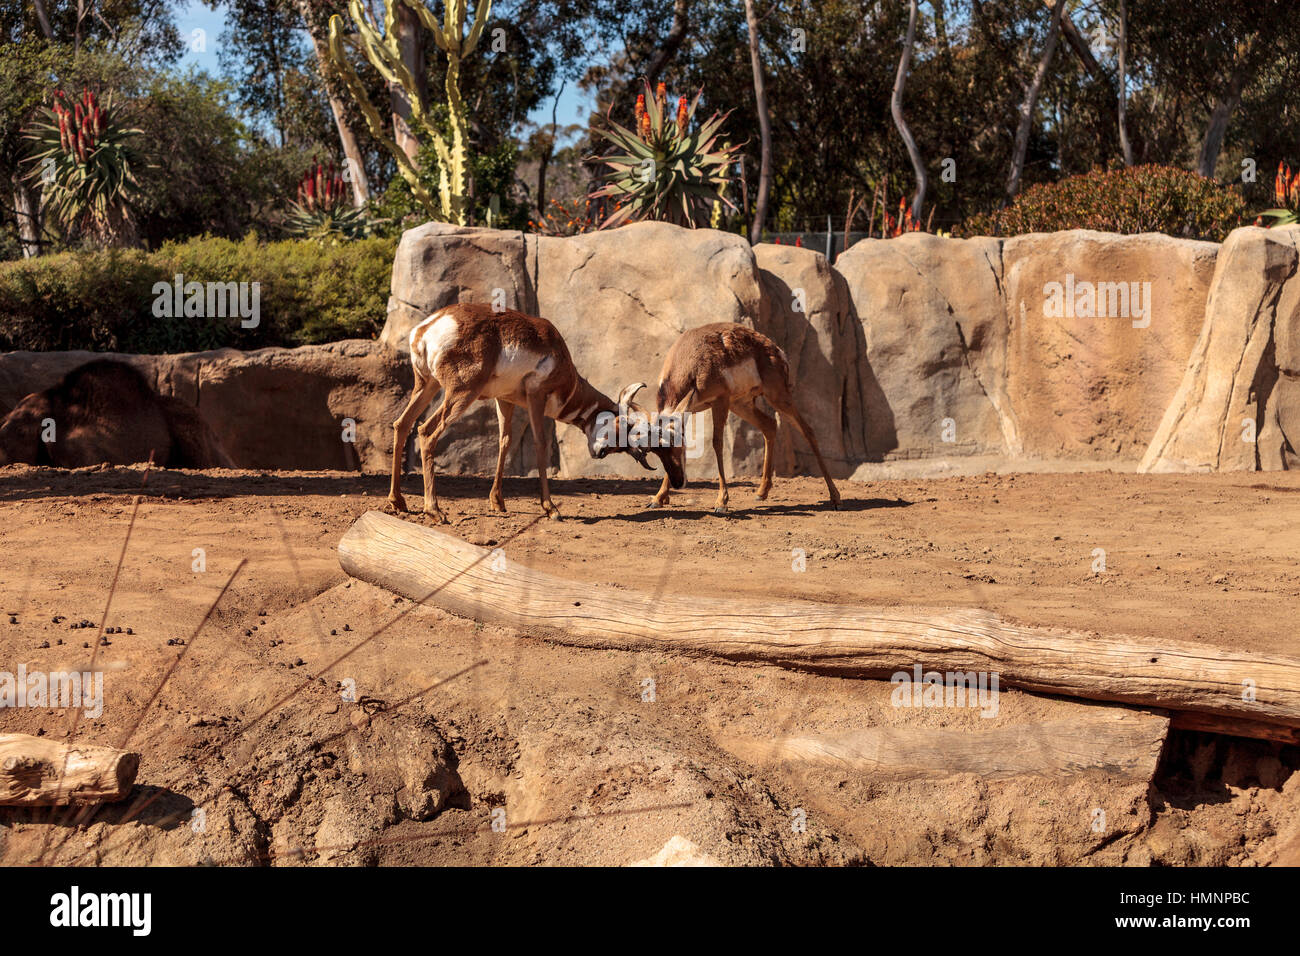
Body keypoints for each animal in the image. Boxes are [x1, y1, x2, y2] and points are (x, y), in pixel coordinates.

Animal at [389, 302, 683, 522]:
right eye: (624, 427)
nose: (599, 453)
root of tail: (429, 327)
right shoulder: (536, 397)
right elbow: (540, 444)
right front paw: (551, 508)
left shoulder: (504, 400)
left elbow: (504, 442)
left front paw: (498, 502)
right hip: (461, 394)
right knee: (426, 431)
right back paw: (435, 510)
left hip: (427, 385)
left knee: (402, 424)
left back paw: (398, 501)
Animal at [647, 323, 841, 513]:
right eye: (657, 451)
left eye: (675, 446)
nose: (678, 482)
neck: (690, 355)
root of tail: (775, 349)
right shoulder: (690, 411)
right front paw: (657, 499)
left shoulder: (720, 401)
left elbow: (717, 443)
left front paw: (721, 502)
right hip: (741, 404)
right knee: (769, 425)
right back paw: (761, 493)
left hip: (777, 397)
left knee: (807, 430)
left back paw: (835, 497)